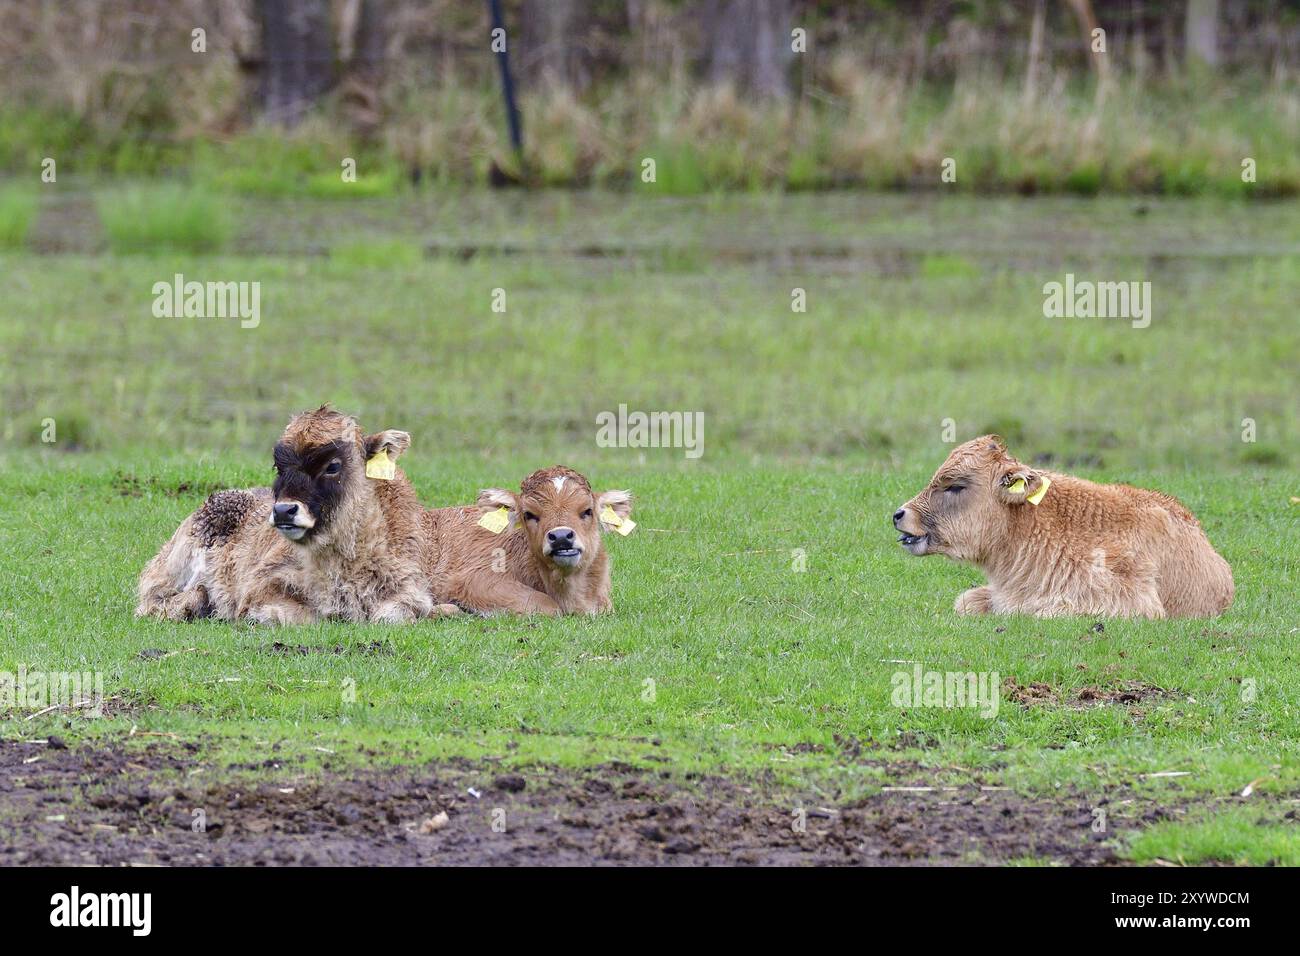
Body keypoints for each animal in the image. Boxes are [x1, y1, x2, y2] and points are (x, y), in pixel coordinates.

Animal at [136, 405, 447, 624]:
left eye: (333, 465)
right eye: (279, 466)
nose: (283, 510)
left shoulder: (409, 591)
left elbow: (393, 616)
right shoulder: (263, 589)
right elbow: (303, 617)